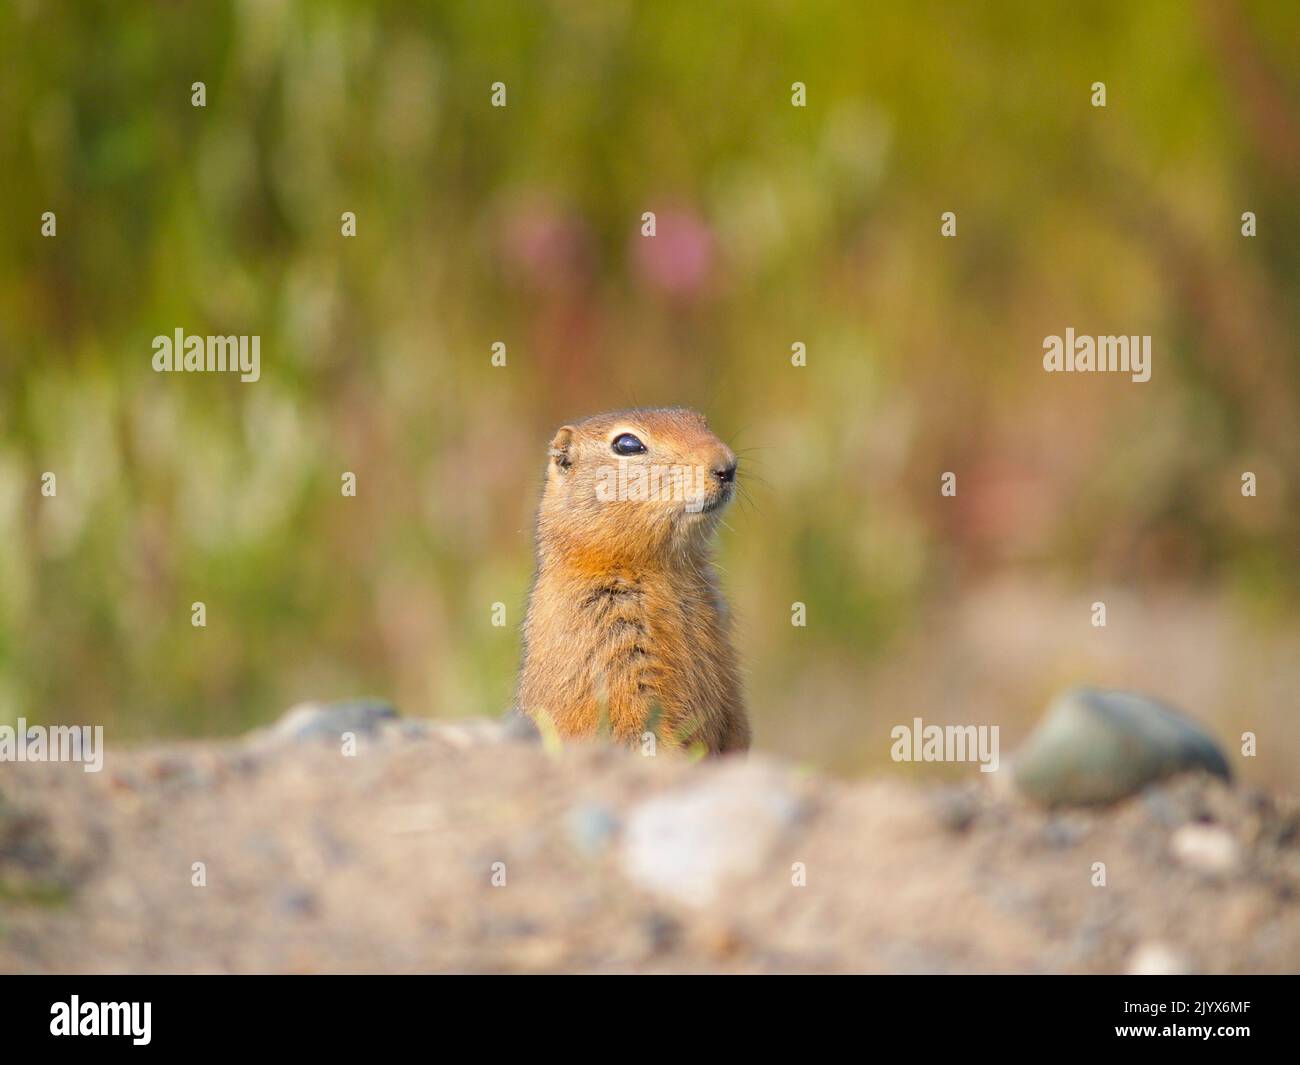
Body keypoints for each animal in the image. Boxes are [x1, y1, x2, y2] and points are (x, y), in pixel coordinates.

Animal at [515, 407, 750, 755]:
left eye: (700, 421)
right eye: (627, 444)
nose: (727, 466)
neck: (661, 566)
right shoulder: (607, 639)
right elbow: (634, 715)